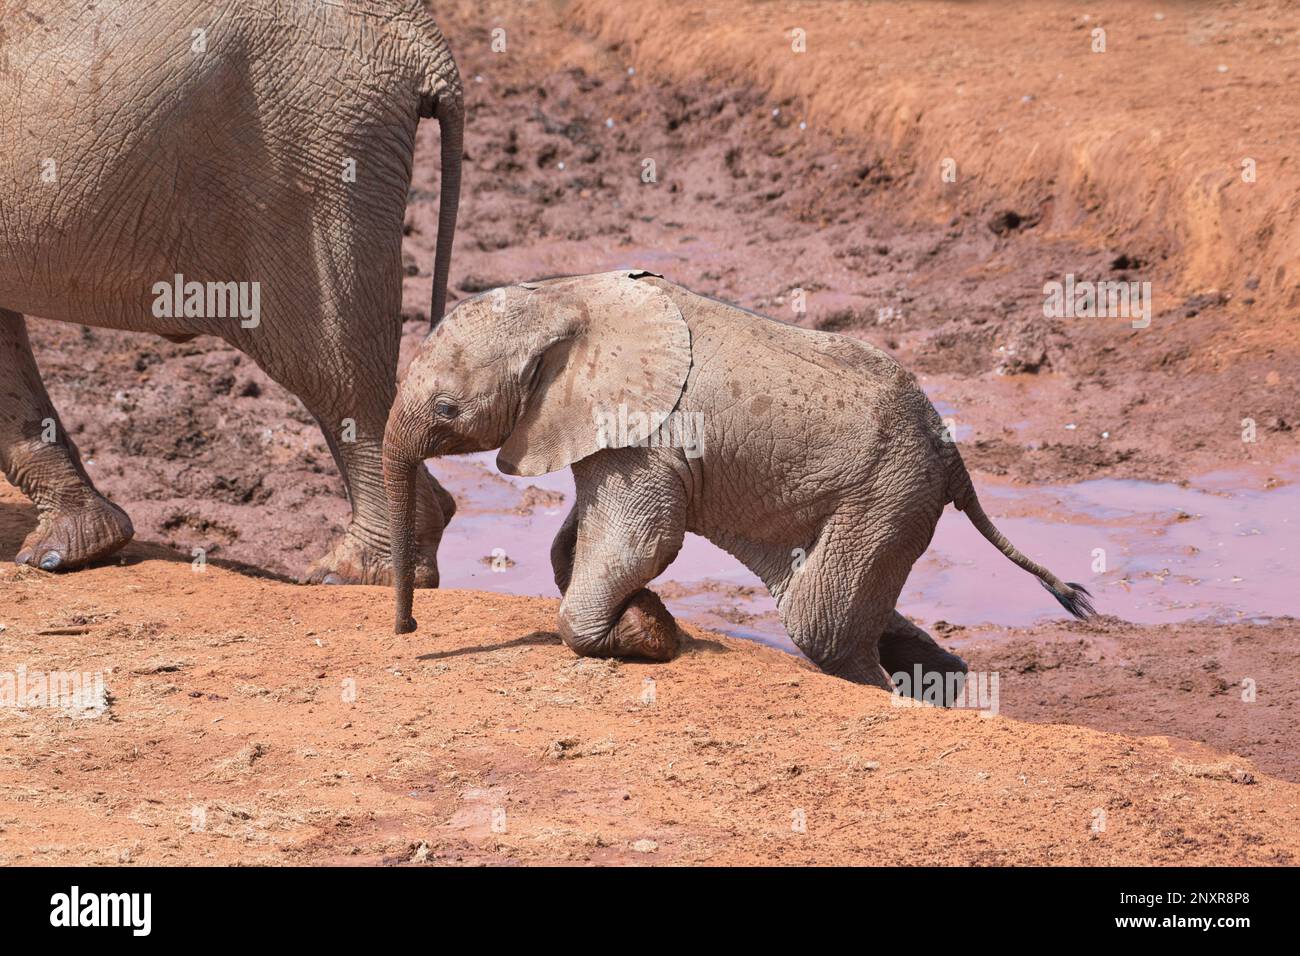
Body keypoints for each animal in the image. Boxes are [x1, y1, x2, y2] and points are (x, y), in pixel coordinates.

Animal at [382, 270, 1095, 689]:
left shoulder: (645, 429)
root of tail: (949, 448)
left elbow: (646, 538)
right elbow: (577, 541)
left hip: (887, 489)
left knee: (820, 620)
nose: (407, 631)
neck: (563, 299)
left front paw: (650, 636)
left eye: (446, 409)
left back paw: (894, 693)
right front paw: (647, 618)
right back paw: (947, 677)